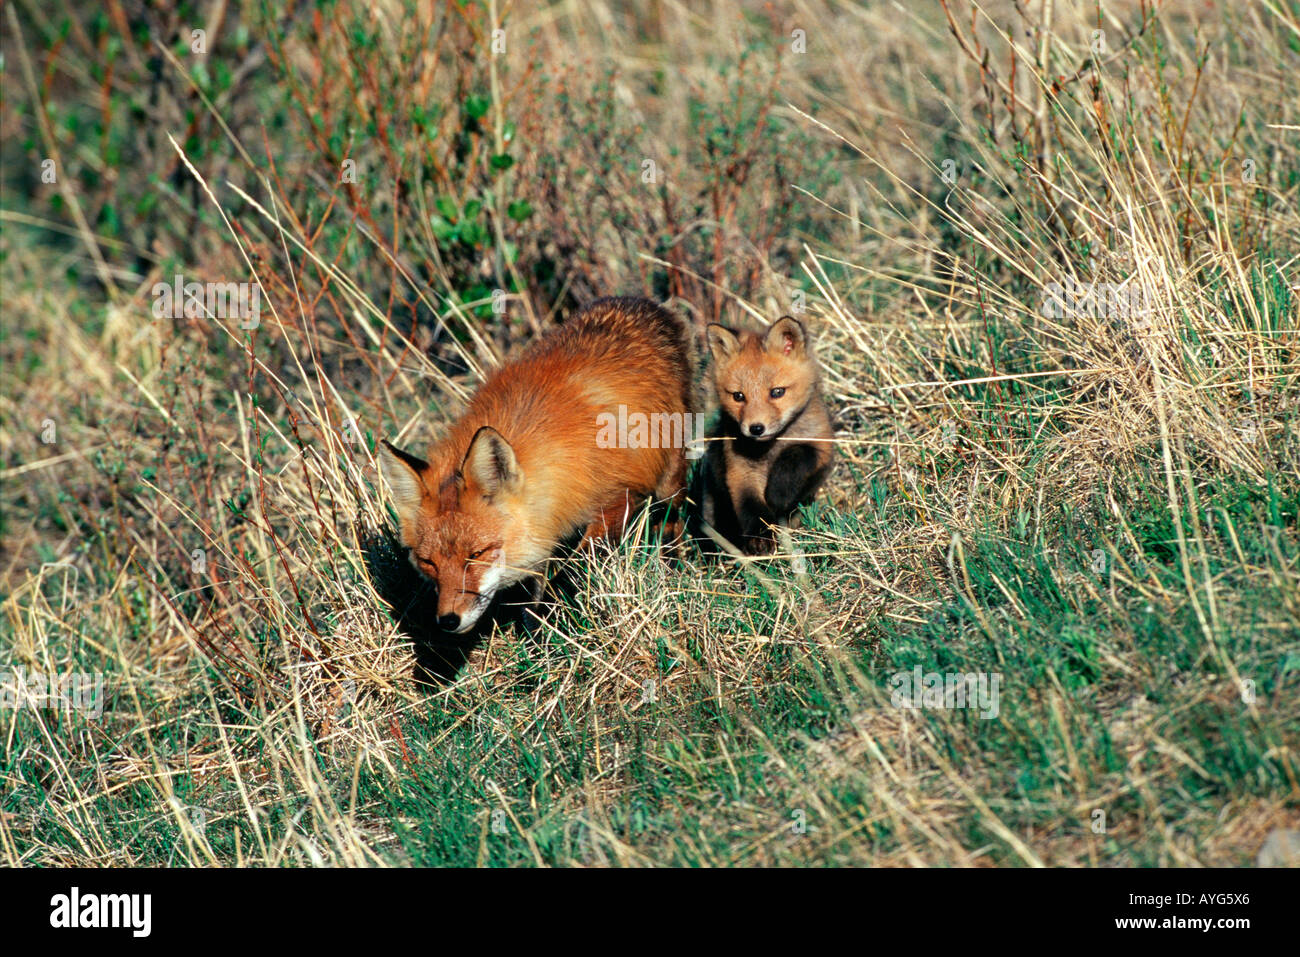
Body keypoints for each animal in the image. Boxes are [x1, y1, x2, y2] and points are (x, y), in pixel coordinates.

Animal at [379, 297, 693, 634]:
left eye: (476, 555)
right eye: (429, 562)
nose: (448, 621)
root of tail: (635, 301)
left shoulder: (617, 498)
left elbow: (575, 567)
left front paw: (554, 619)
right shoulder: (543, 521)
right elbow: (537, 584)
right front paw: (535, 630)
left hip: (669, 483)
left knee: (672, 520)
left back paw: (673, 566)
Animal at [699, 315, 834, 555]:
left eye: (777, 392)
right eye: (738, 396)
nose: (756, 428)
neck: (771, 448)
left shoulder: (822, 446)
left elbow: (799, 452)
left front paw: (779, 493)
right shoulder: (740, 471)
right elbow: (751, 507)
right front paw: (760, 537)